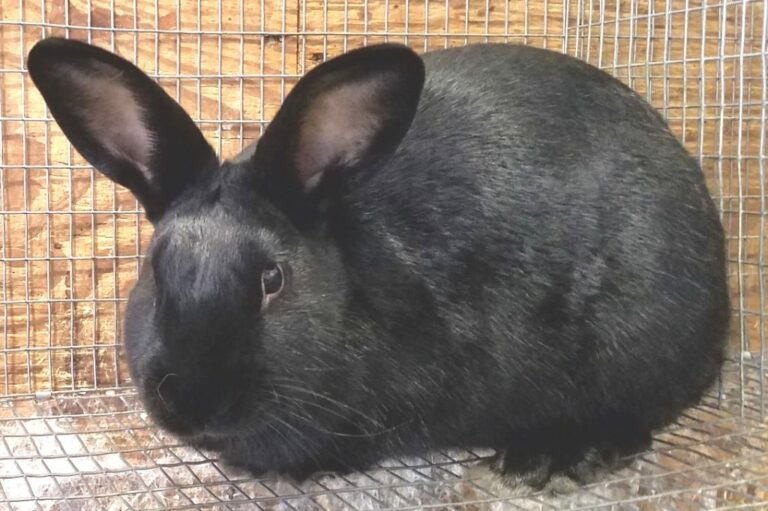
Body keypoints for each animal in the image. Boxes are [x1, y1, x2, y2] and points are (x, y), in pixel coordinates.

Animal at [28, 37, 729, 488]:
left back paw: (551, 458)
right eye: (154, 268)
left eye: (272, 280)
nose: (193, 402)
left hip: (634, 350)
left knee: (637, 418)